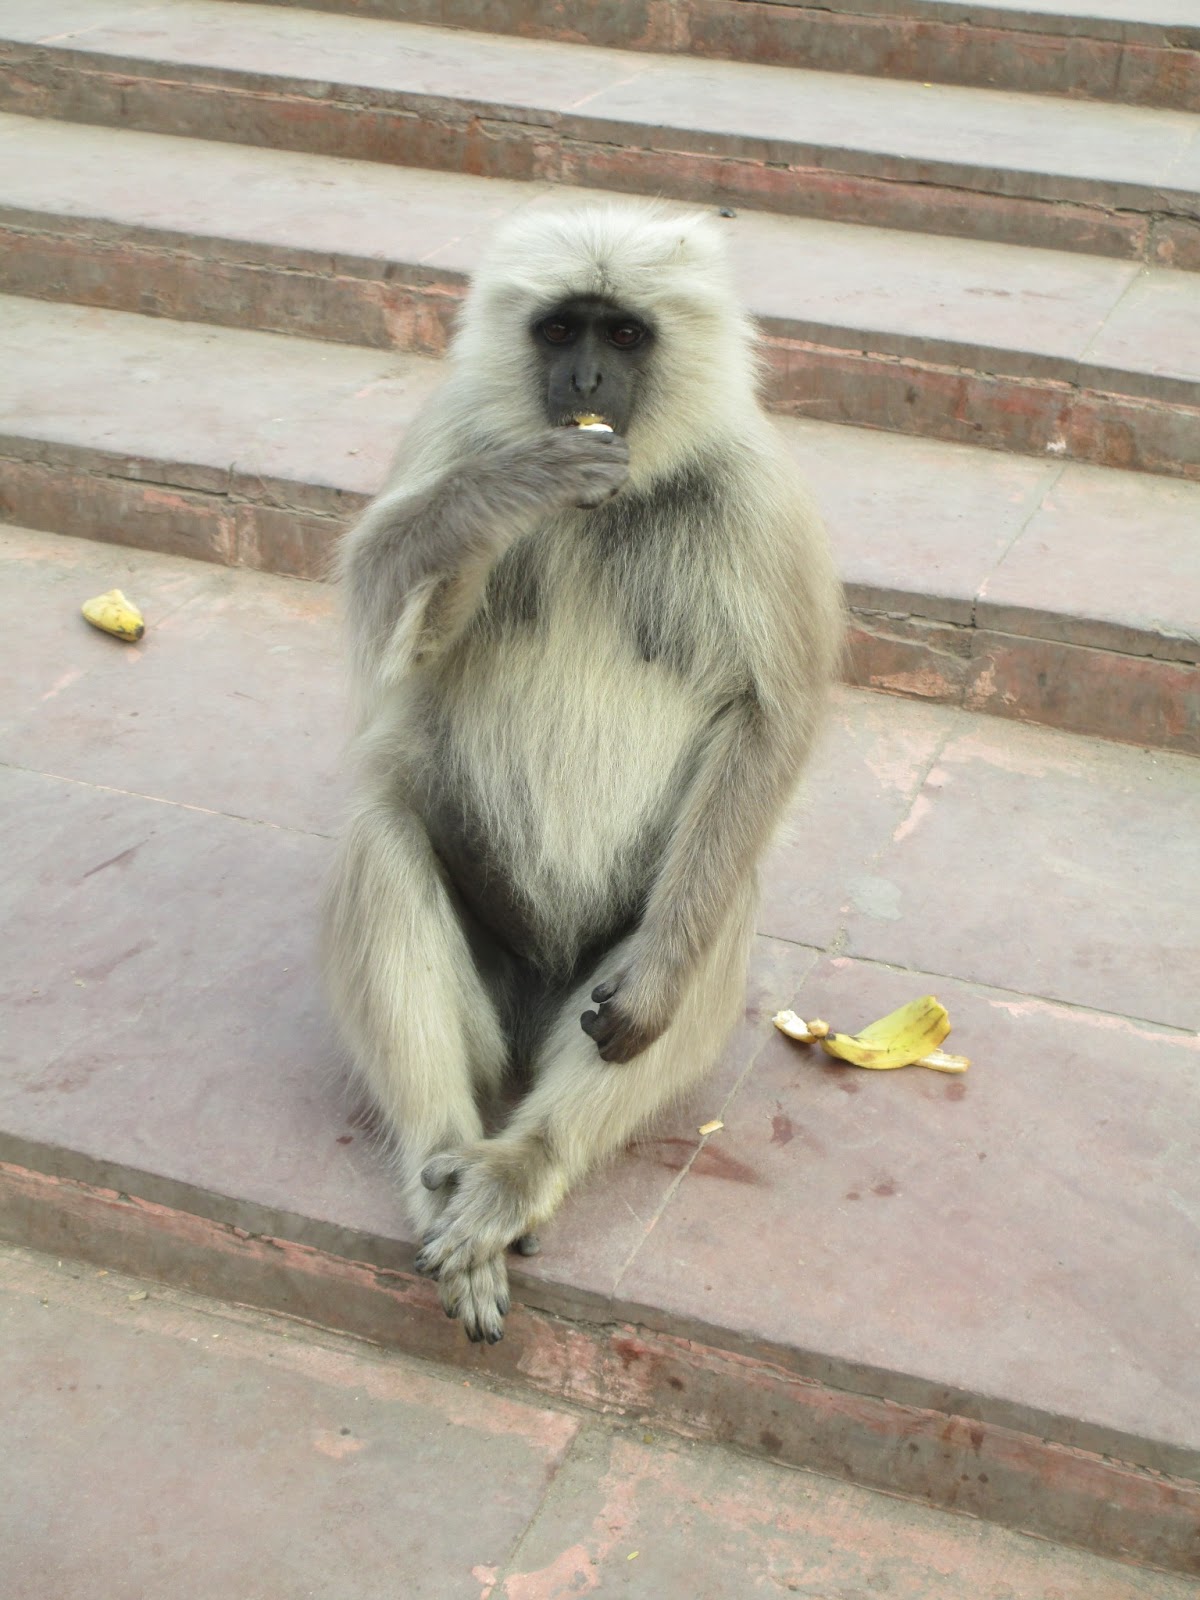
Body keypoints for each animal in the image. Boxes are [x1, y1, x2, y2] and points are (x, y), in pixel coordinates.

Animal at [321, 204, 844, 1344]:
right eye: (562, 330)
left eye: (627, 335)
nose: (588, 383)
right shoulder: (454, 435)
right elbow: (390, 614)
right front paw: (500, 497)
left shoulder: (752, 492)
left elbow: (771, 722)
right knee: (382, 832)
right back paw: (440, 1160)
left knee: (709, 909)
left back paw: (521, 1166)